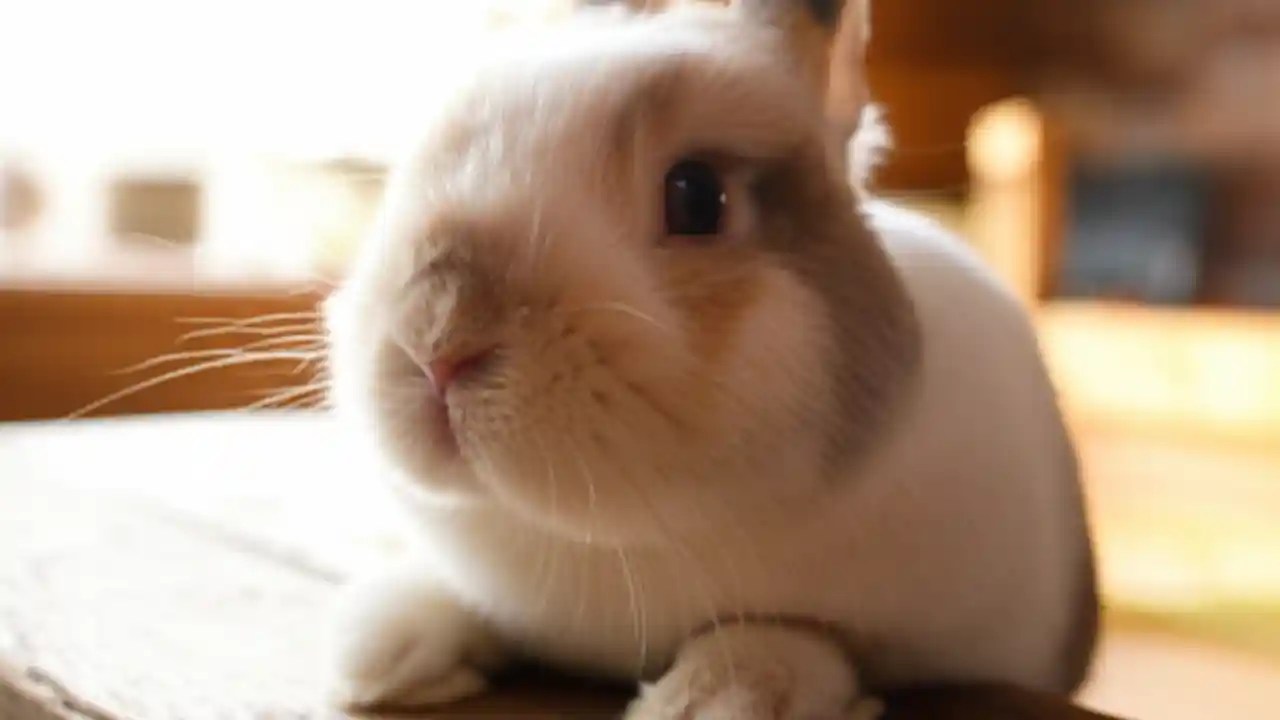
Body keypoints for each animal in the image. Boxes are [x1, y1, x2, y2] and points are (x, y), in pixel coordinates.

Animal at [322, 1, 1098, 718]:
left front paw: (713, 697)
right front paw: (379, 647)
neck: (615, 542)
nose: (438, 338)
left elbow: (804, 635)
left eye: (696, 196)